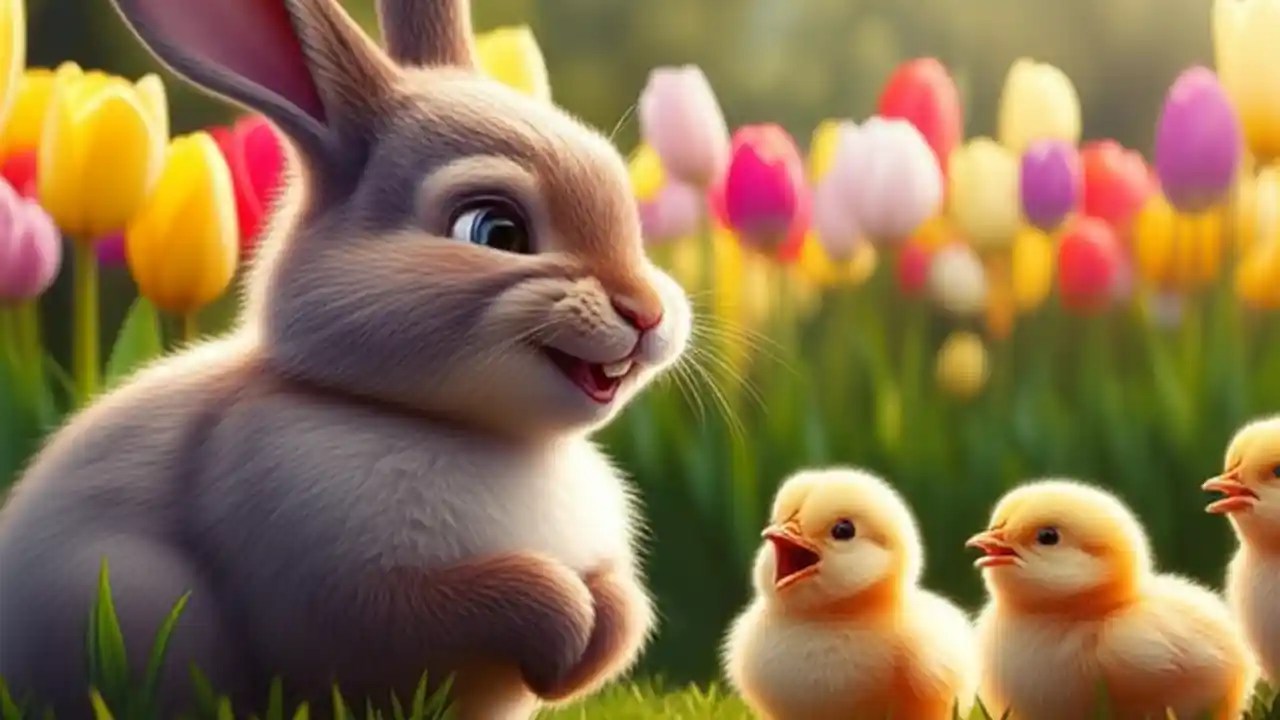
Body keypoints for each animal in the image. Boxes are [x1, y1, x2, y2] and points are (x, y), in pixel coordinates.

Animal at [0, 0, 692, 718]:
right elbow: (476, 600)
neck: (458, 427)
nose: (646, 311)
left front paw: (596, 634)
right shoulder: (338, 585)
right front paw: (564, 630)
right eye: (496, 231)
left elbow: (621, 607)